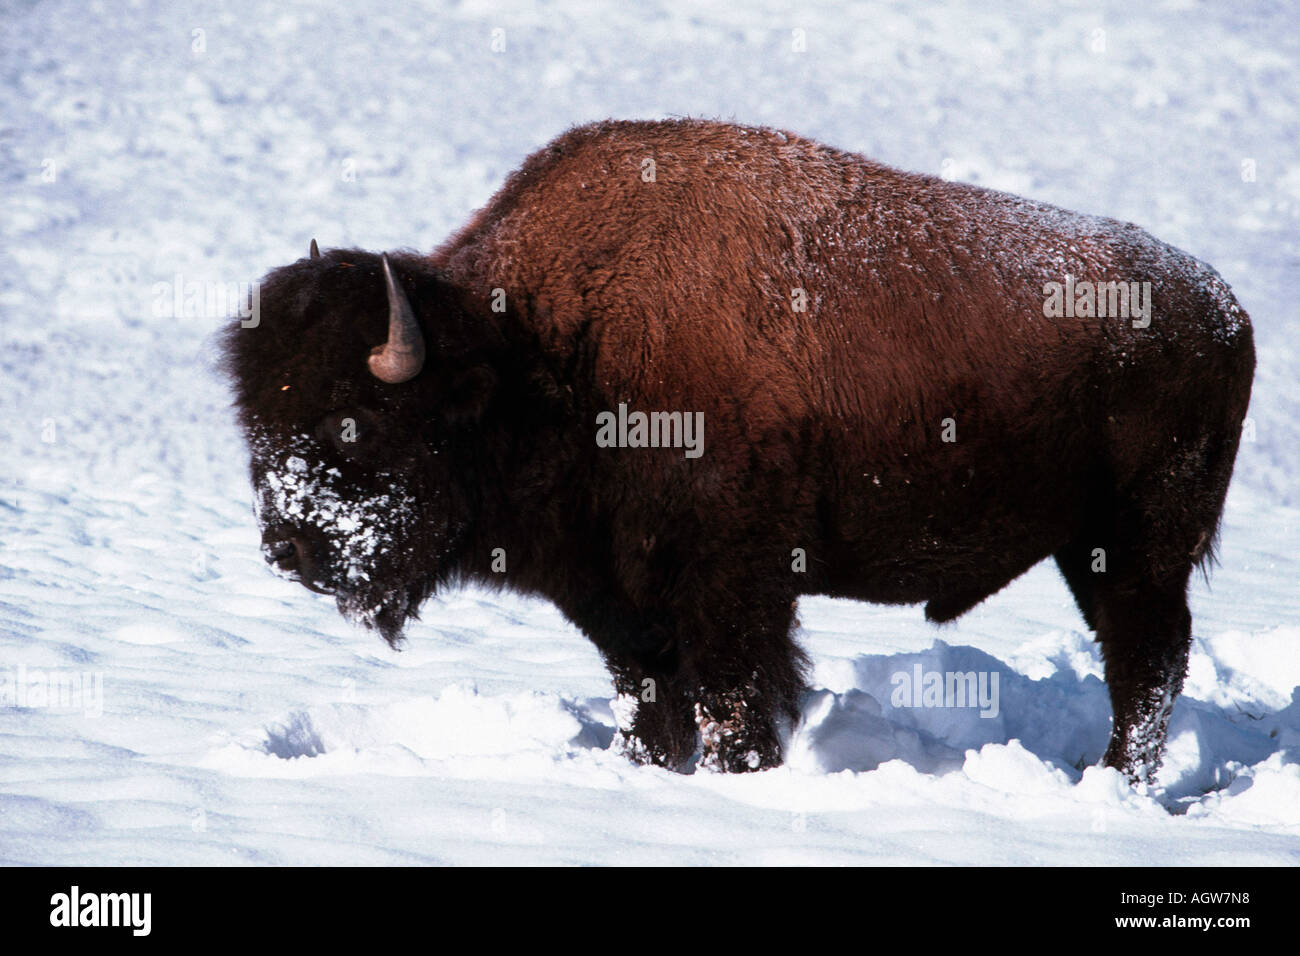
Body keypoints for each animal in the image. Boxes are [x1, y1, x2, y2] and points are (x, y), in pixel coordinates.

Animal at [223, 119, 1254, 782]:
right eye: (256, 422)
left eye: (354, 418)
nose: (289, 547)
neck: (540, 353)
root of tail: (1226, 311)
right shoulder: (621, 596)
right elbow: (648, 696)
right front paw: (648, 768)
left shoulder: (731, 583)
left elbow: (732, 700)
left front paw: (735, 773)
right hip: (1093, 549)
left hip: (1135, 547)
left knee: (1147, 662)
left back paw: (1115, 785)